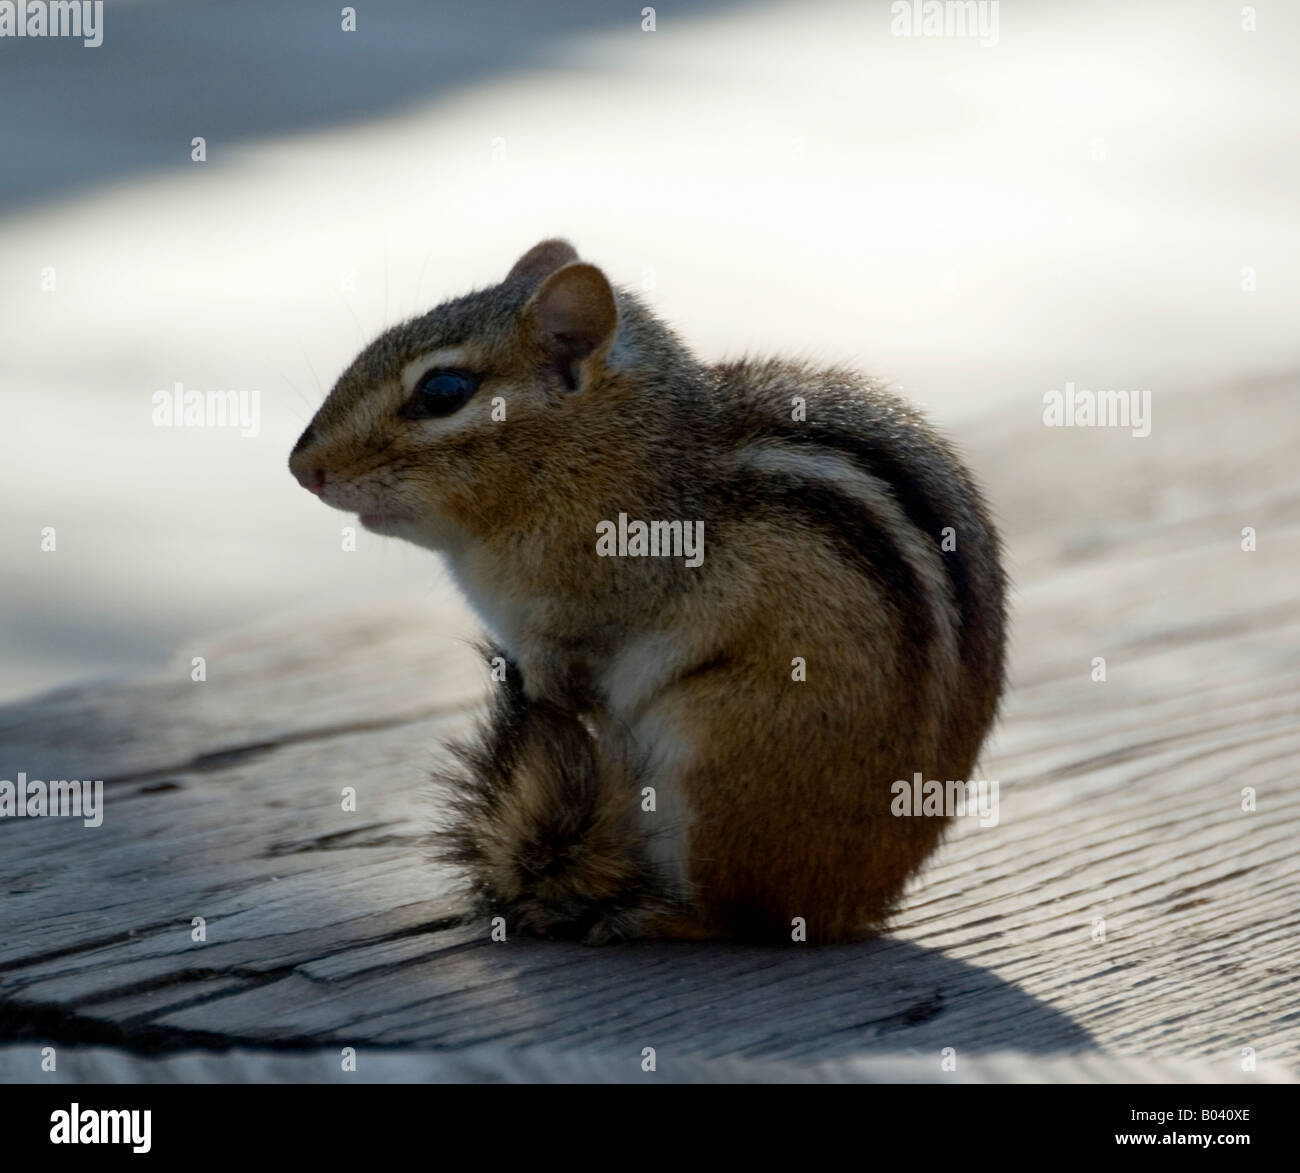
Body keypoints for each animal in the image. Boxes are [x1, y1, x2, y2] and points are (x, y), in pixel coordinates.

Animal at [289, 239, 1007, 944]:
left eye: (442, 391)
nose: (301, 468)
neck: (605, 453)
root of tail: (851, 906)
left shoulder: (587, 608)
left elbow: (568, 666)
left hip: (711, 757)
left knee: (736, 916)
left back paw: (648, 914)